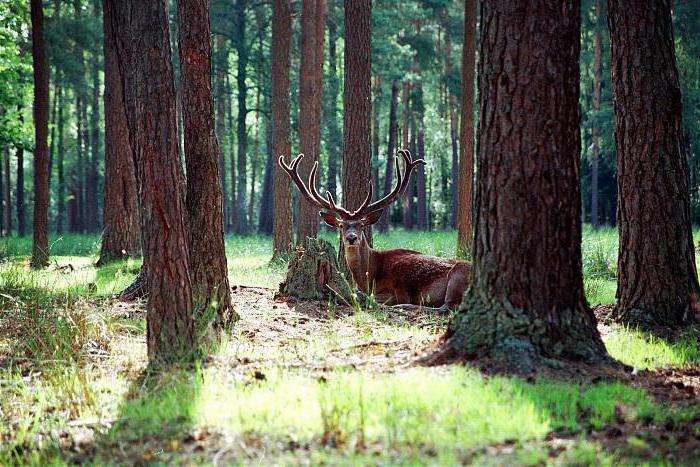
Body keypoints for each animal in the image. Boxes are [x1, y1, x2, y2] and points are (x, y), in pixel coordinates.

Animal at [278, 148, 470, 312]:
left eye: (361, 225)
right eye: (341, 226)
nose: (352, 238)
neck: (369, 275)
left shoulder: (398, 289)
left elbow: (368, 296)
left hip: (457, 276)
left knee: (447, 307)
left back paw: (403, 307)